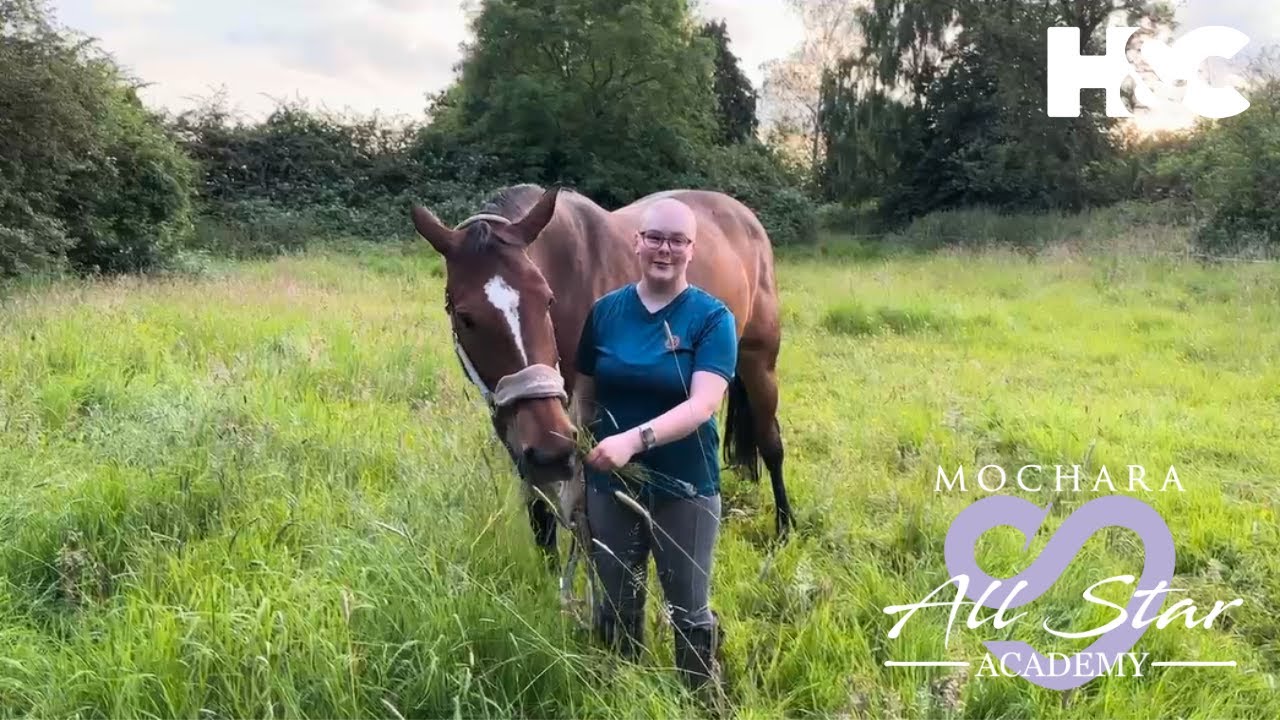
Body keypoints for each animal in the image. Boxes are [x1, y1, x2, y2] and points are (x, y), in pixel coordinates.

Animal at [410, 184, 793, 565]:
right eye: (465, 317)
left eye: (547, 300)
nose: (552, 451)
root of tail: (743, 214)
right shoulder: (515, 423)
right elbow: (539, 501)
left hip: (759, 363)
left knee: (771, 444)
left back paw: (785, 528)